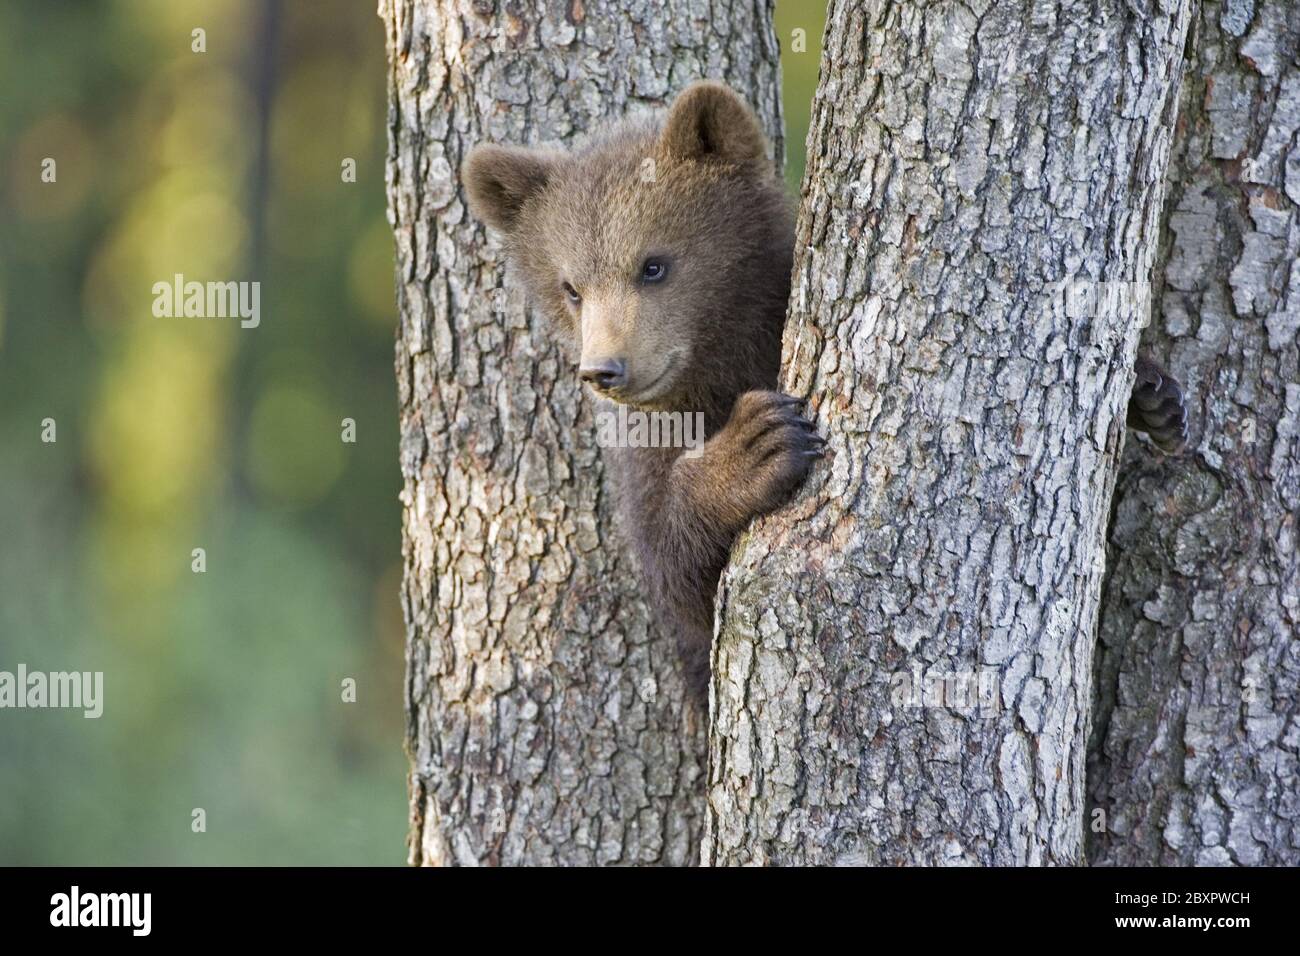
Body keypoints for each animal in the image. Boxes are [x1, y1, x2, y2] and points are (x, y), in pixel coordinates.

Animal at [463, 80, 1188, 704]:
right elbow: (680, 582)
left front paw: (1152, 389)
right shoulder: (643, 455)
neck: (722, 364)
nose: (605, 369)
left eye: (654, 264)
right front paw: (755, 446)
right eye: (571, 286)